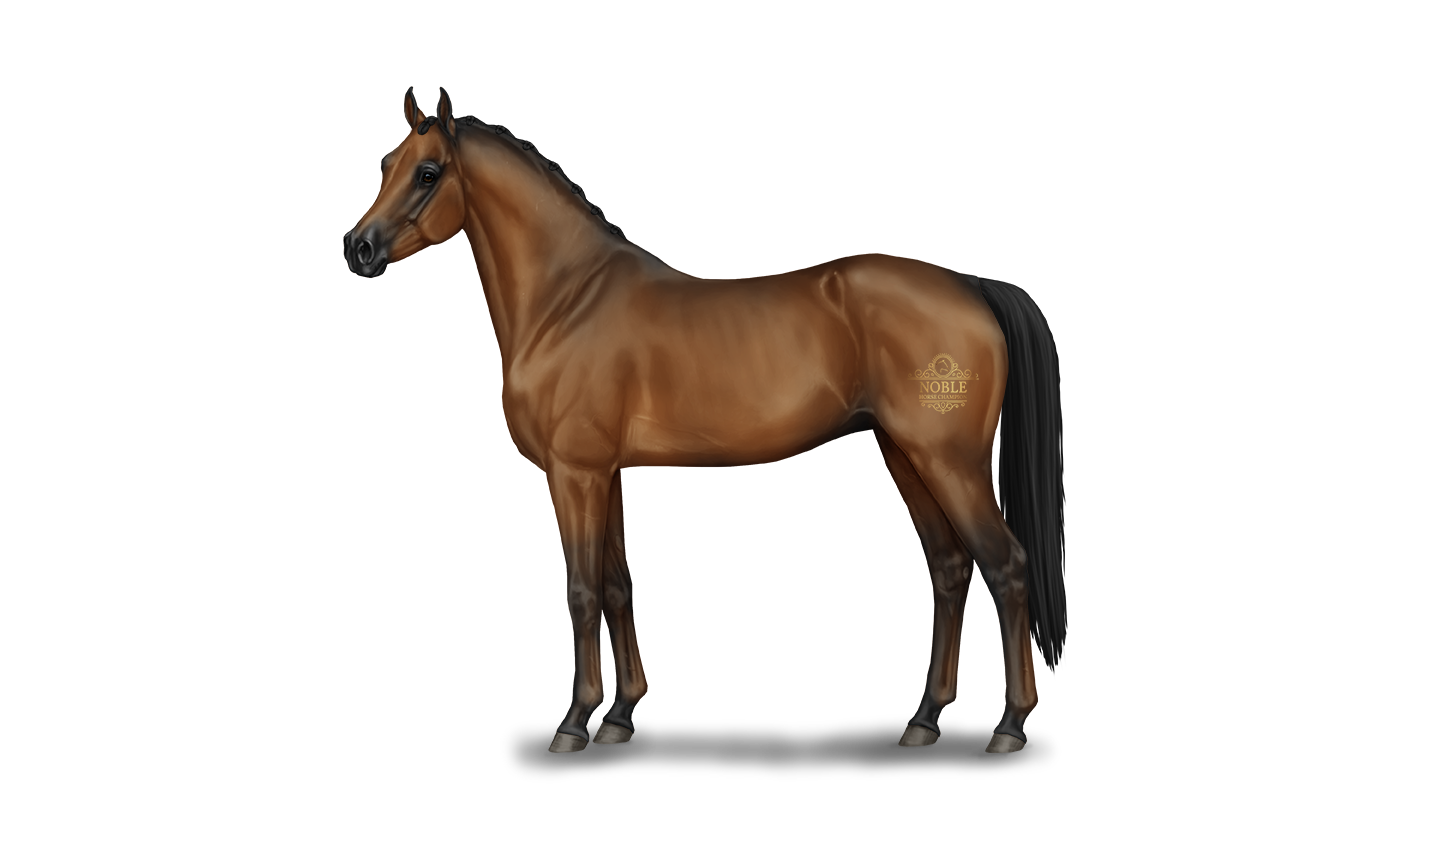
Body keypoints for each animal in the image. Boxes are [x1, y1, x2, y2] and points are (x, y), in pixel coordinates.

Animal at [345, 87, 1067, 754]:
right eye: (382, 161)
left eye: (429, 171)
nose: (360, 247)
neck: (567, 298)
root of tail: (970, 285)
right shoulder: (604, 473)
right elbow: (617, 588)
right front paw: (619, 716)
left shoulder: (574, 472)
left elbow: (581, 591)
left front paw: (576, 723)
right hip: (906, 456)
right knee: (949, 571)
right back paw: (923, 720)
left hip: (951, 463)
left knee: (1006, 568)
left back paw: (1008, 727)